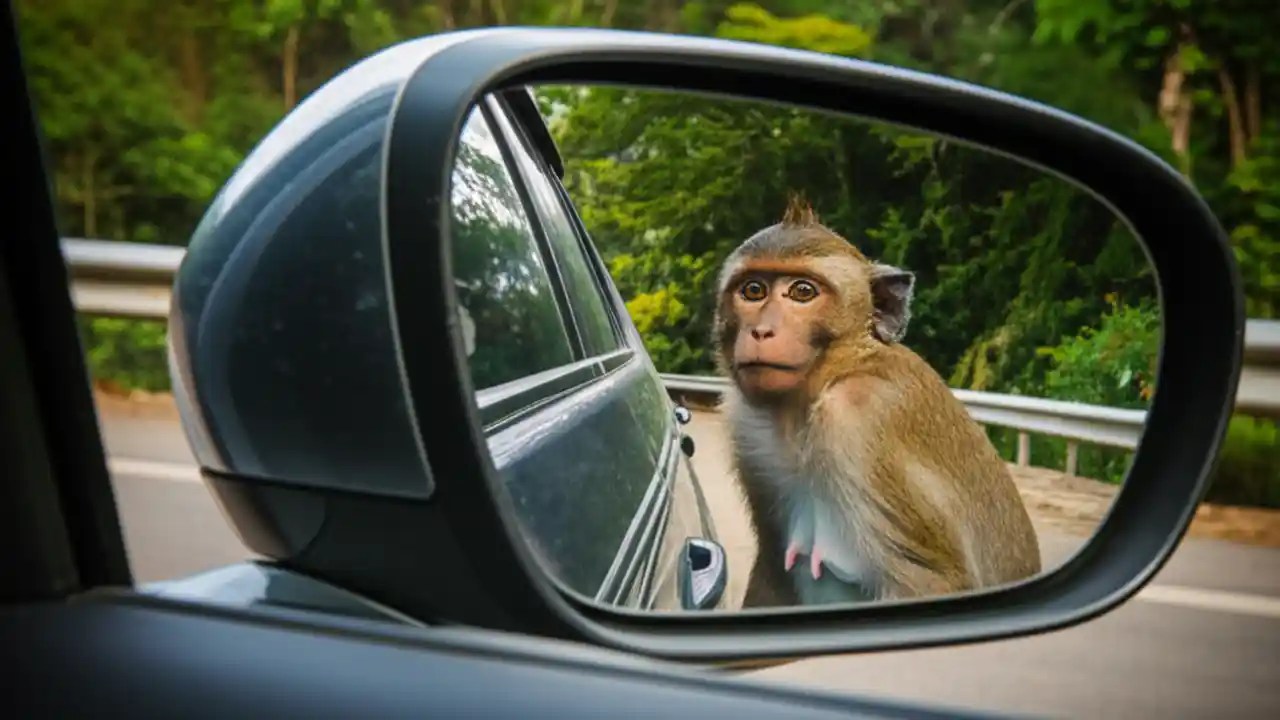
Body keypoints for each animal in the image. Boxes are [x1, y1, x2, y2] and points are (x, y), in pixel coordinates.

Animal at [713, 197, 1041, 608]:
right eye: (754, 290)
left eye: (803, 292)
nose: (761, 330)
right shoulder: (748, 431)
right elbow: (775, 570)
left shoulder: (858, 417)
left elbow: (934, 580)